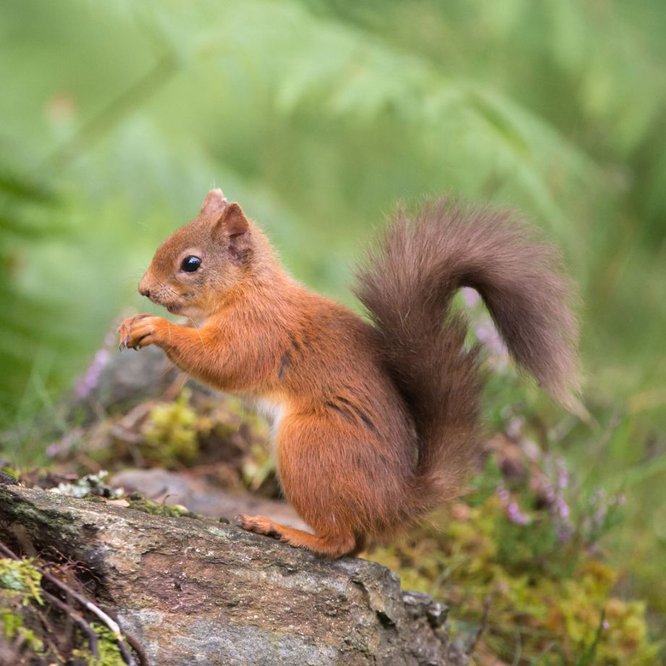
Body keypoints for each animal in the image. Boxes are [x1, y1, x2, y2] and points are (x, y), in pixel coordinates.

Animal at [118, 188, 578, 558]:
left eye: (191, 263)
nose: (143, 289)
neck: (247, 290)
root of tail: (394, 501)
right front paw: (131, 322)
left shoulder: (260, 332)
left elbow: (221, 361)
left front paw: (156, 327)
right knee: (357, 544)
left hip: (311, 445)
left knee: (340, 542)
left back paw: (283, 529)